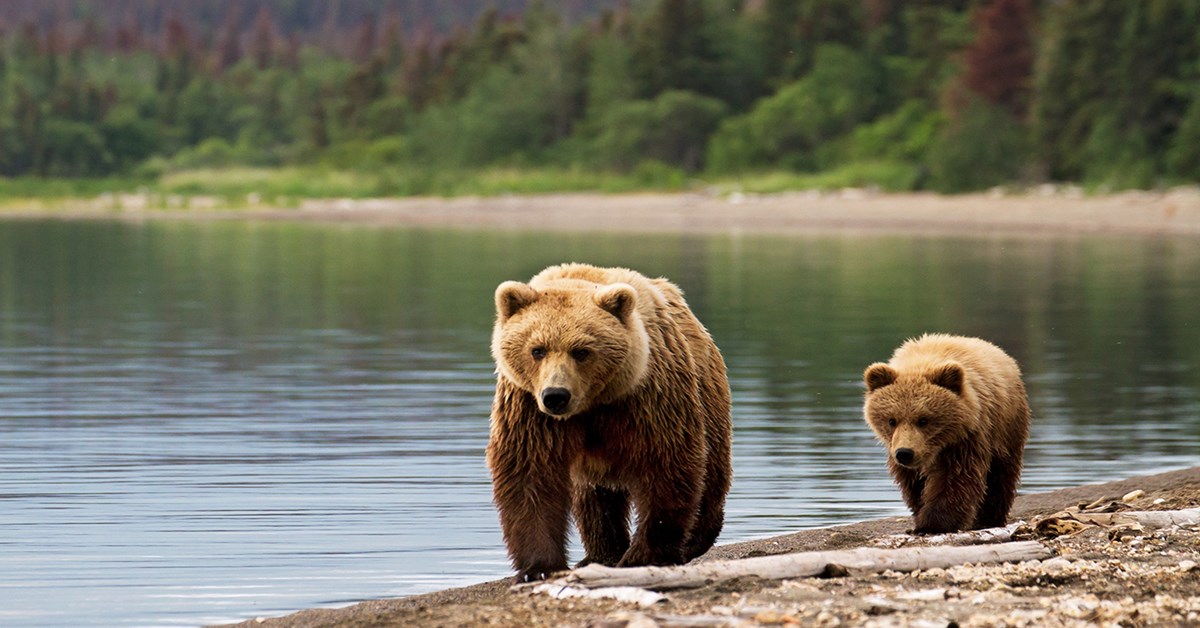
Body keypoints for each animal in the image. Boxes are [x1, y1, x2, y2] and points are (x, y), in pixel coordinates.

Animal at [487, 262, 732, 583]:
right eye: (537, 349)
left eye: (581, 350)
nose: (556, 396)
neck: (592, 403)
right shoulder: (529, 408)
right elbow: (530, 474)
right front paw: (538, 567)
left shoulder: (645, 399)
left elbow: (666, 464)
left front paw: (644, 555)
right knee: (593, 499)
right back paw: (600, 553)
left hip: (708, 397)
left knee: (710, 474)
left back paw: (695, 539)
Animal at [862, 333, 1030, 534]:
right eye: (891, 420)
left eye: (923, 419)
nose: (905, 453)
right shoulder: (899, 448)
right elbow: (914, 483)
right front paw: (920, 513)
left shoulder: (965, 438)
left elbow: (955, 478)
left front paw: (933, 523)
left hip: (1006, 429)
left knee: (1001, 474)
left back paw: (988, 519)